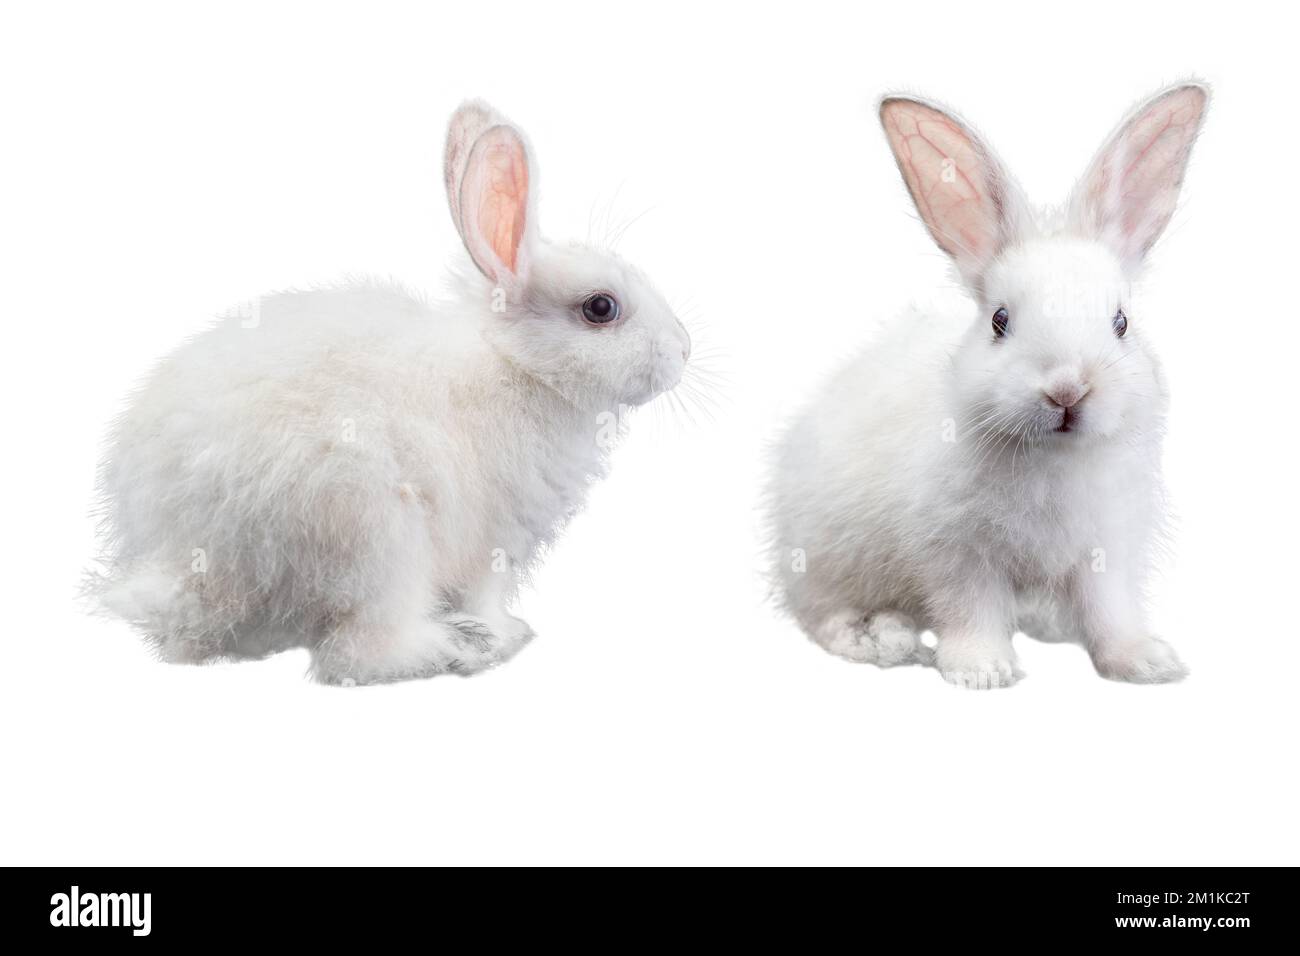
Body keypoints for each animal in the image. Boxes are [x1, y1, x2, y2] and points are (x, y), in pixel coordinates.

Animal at [89, 100, 692, 685]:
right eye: (601, 307)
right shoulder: (492, 542)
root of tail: (198, 566)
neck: (514, 364)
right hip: (375, 536)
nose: (684, 350)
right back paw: (460, 647)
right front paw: (505, 631)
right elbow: (483, 594)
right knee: (357, 655)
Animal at [766, 83, 1208, 689]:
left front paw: (1146, 662)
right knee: (820, 615)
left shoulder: (1105, 552)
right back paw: (880, 638)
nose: (1067, 389)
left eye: (1121, 322)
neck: (1052, 457)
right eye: (1000, 321)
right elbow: (970, 609)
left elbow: (1109, 611)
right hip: (827, 556)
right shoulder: (958, 554)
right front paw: (982, 671)